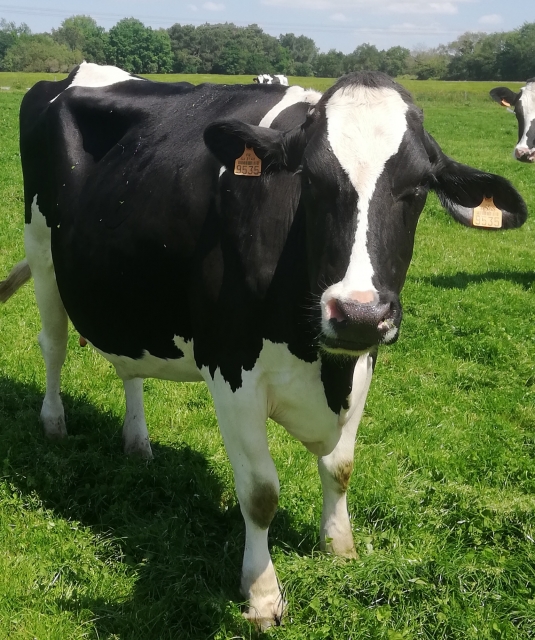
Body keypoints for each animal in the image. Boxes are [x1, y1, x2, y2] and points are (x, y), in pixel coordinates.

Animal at [1, 62, 527, 628]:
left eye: (418, 187)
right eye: (311, 181)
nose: (359, 313)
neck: (320, 362)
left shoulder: (363, 361)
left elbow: (340, 469)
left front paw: (340, 548)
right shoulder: (231, 371)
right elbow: (260, 493)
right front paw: (261, 593)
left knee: (130, 367)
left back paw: (137, 443)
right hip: (43, 254)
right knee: (53, 345)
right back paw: (54, 423)